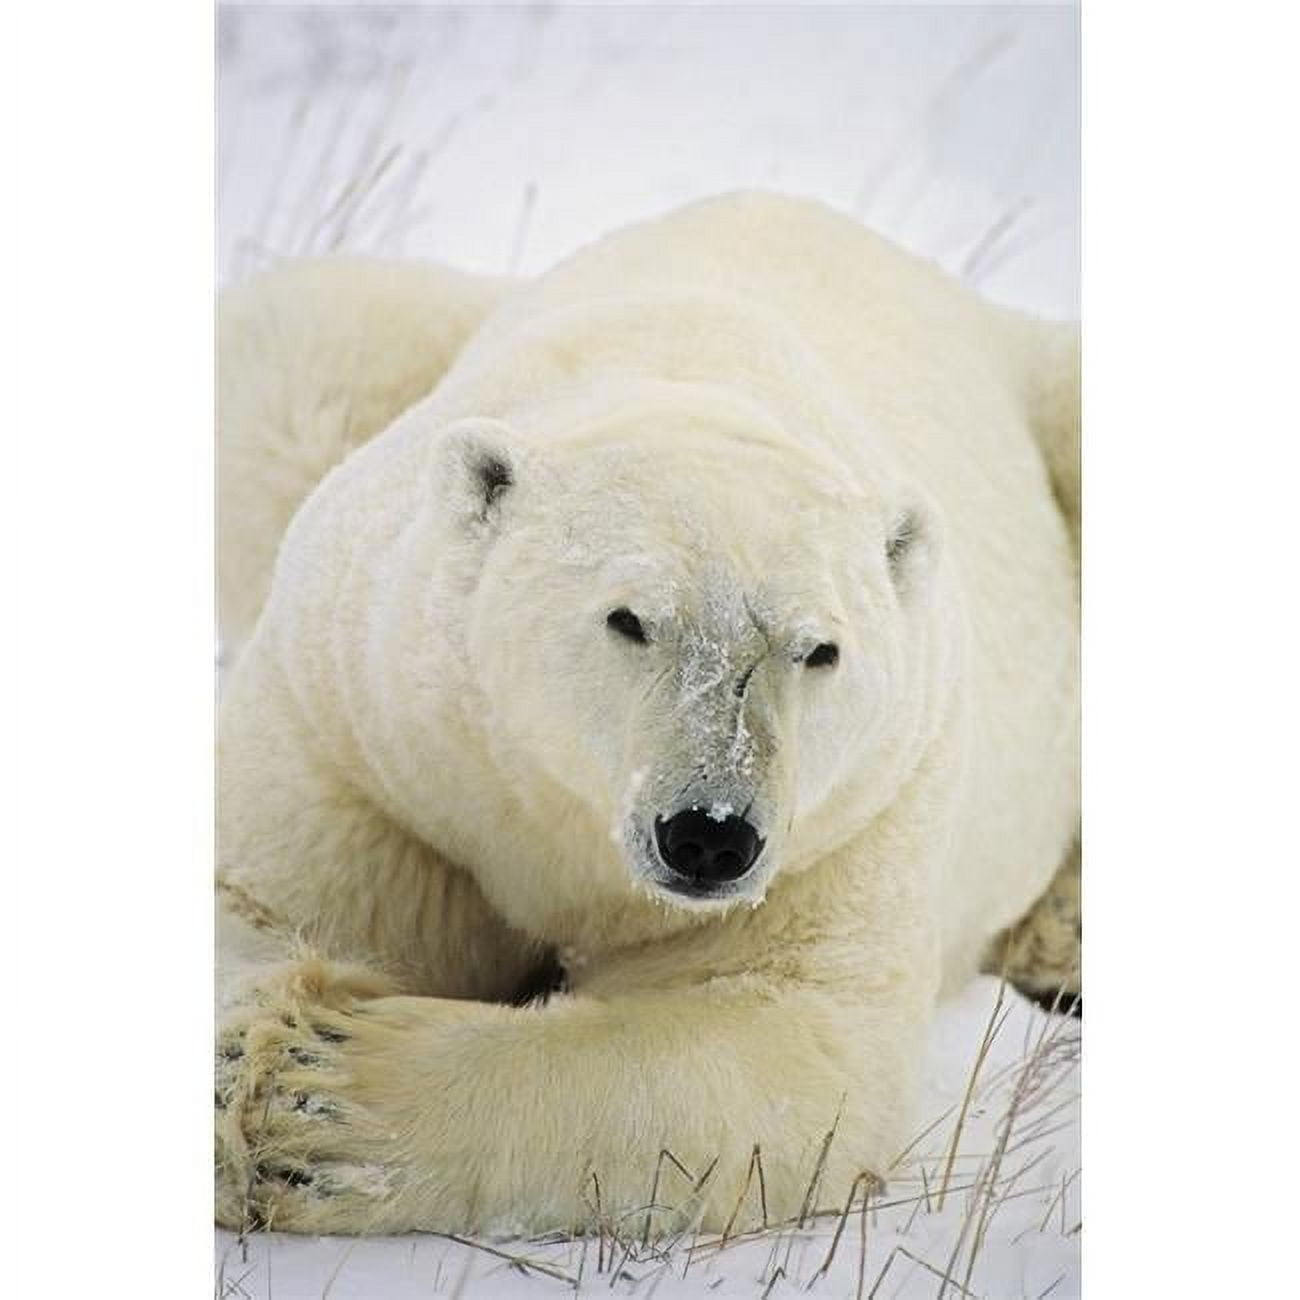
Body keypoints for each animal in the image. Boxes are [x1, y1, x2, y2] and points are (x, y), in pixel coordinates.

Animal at [215, 191, 1080, 1237]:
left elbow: (780, 1042)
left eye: (818, 650)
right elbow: (265, 902)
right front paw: (258, 1069)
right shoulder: (363, 728)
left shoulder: (858, 815)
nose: (710, 835)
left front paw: (320, 1088)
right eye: (630, 619)